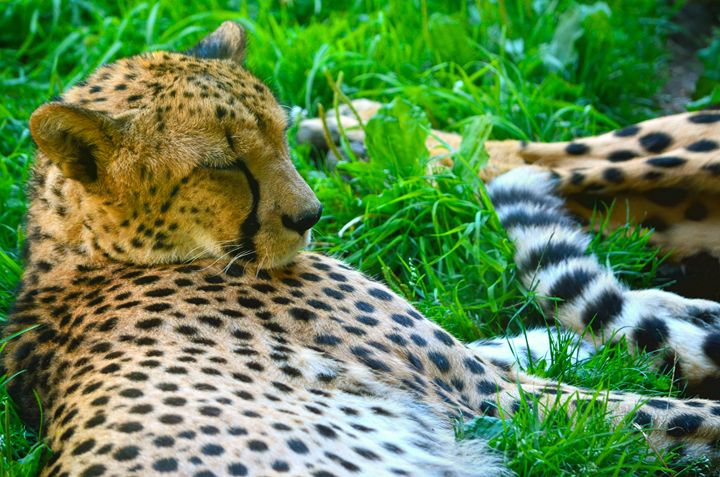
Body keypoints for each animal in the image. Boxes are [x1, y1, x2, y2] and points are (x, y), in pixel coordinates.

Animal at [4, 21, 720, 477]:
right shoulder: (483, 397)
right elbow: (664, 408)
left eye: (279, 132)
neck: (84, 253)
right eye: (225, 164)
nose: (311, 216)